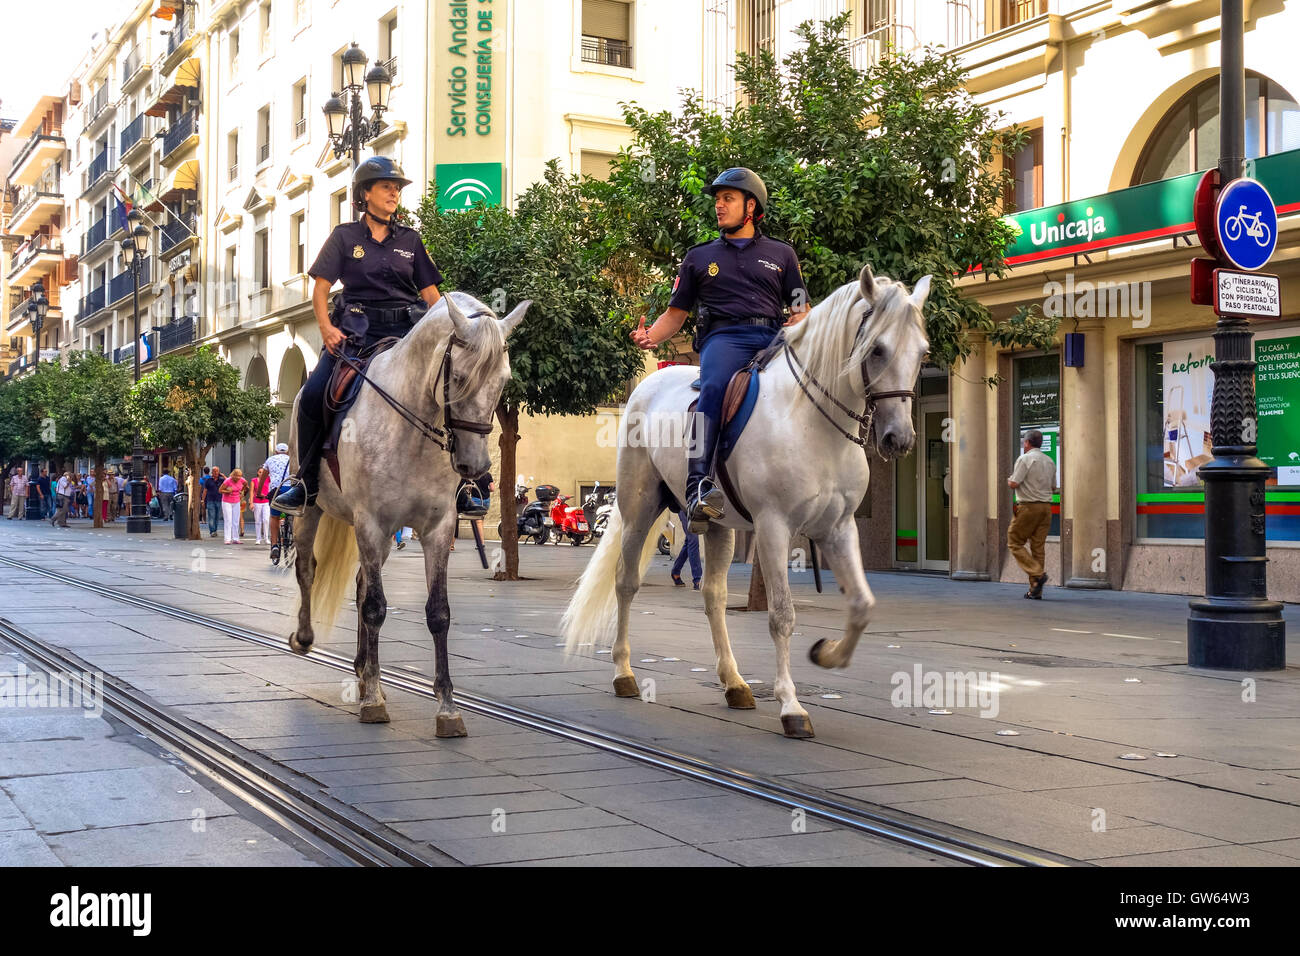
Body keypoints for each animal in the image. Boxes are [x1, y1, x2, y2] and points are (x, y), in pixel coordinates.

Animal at [286, 291, 530, 736]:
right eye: (459, 378)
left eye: (503, 380)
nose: (474, 466)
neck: (413, 429)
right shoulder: (371, 522)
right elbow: (375, 607)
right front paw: (372, 702)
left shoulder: (438, 529)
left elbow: (438, 613)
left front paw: (447, 707)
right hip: (315, 508)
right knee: (309, 568)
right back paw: (308, 639)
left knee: (362, 583)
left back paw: (364, 671)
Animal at [560, 264, 930, 738]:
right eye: (878, 350)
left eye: (922, 353)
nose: (899, 438)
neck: (812, 420)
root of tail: (648, 382)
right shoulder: (774, 526)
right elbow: (782, 615)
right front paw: (791, 706)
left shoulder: (839, 527)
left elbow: (863, 606)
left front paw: (828, 654)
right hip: (638, 506)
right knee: (626, 582)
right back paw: (624, 673)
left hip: (719, 526)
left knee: (713, 596)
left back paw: (734, 683)